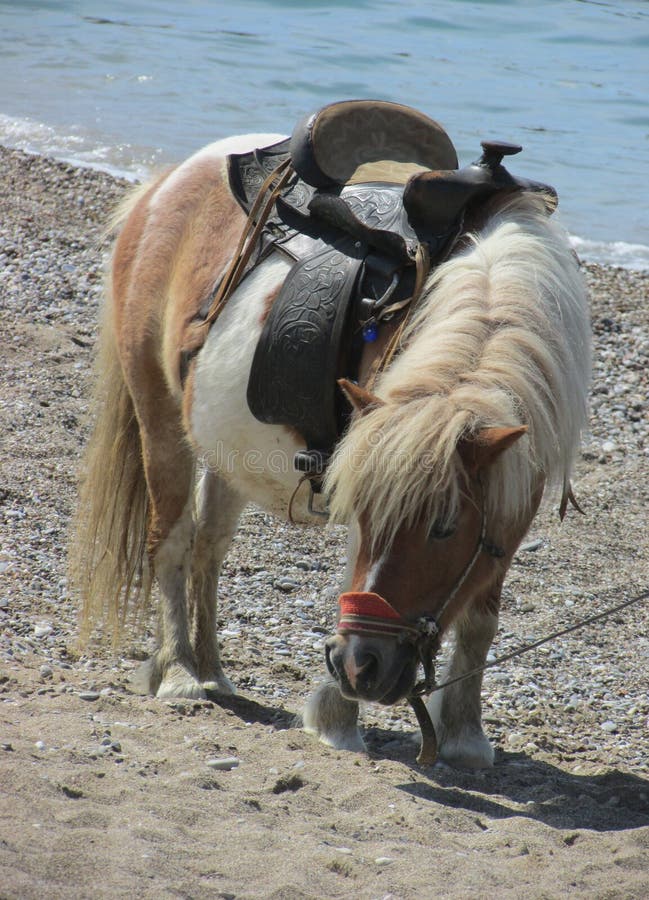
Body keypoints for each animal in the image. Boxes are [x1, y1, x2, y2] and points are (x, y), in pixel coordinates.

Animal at [71, 109, 591, 769]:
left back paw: (212, 670)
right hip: (159, 417)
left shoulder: (509, 502)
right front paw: (337, 717)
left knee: (209, 546)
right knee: (172, 540)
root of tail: (163, 187)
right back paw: (183, 675)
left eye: (445, 528)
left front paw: (465, 736)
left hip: (222, 449)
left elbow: (480, 619)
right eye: (366, 517)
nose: (361, 668)